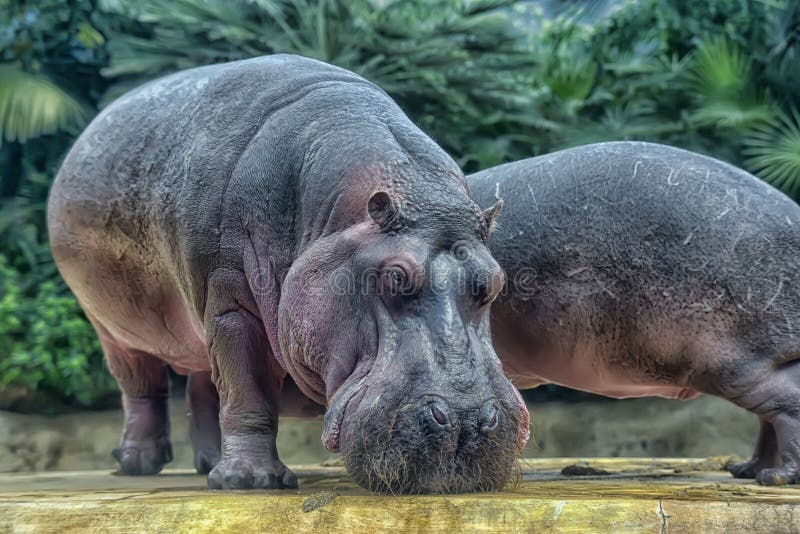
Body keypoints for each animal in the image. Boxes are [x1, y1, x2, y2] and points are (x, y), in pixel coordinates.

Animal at [47, 54, 528, 493]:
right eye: (393, 277)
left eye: (493, 282)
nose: (465, 423)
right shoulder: (230, 306)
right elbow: (247, 391)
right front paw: (249, 482)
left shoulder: (215, 307)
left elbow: (227, 390)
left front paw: (233, 476)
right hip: (111, 327)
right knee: (141, 387)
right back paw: (138, 464)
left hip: (194, 318)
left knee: (202, 386)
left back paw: (207, 465)